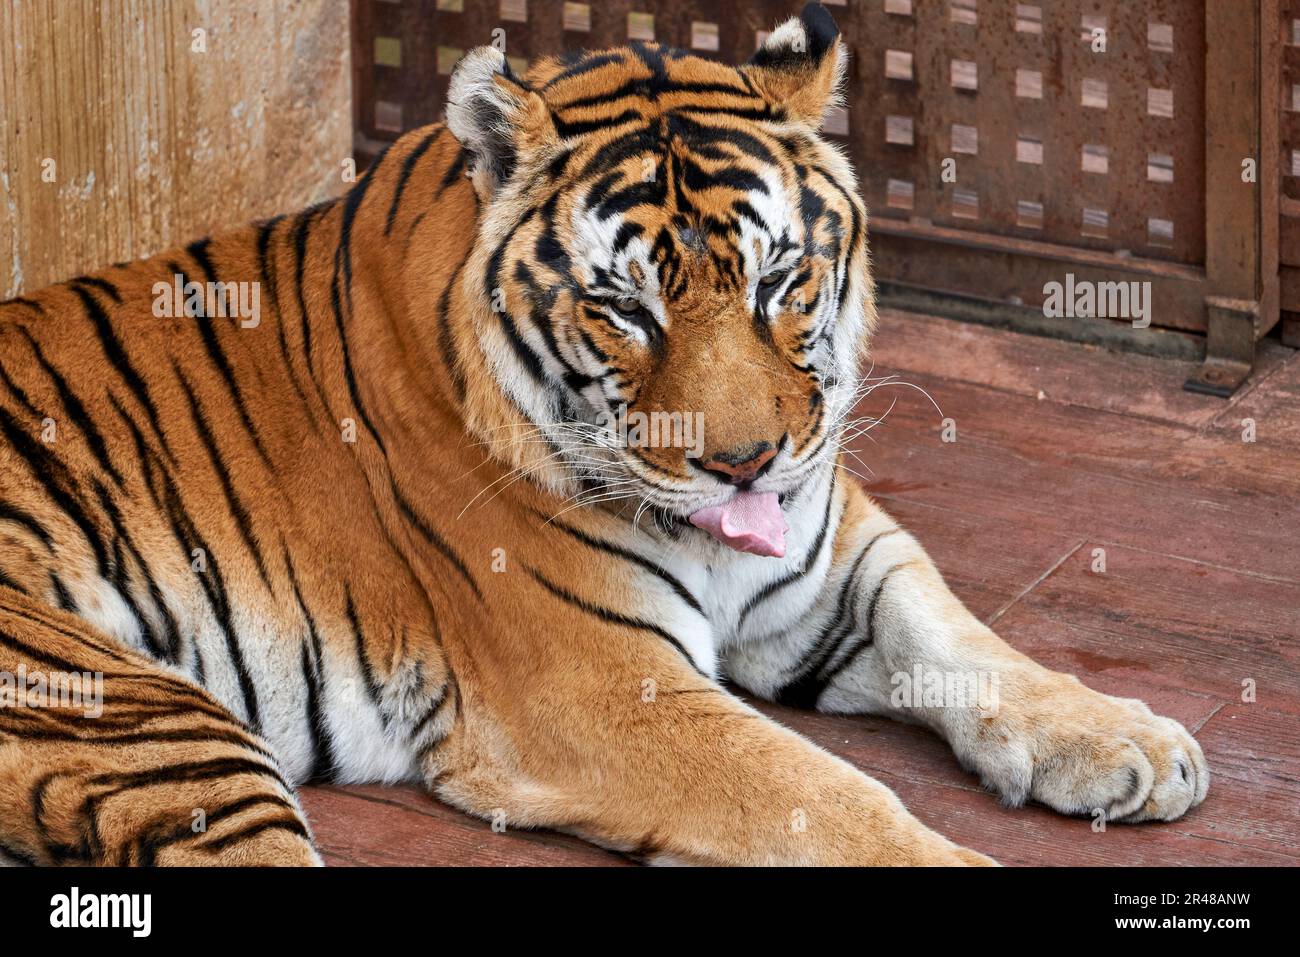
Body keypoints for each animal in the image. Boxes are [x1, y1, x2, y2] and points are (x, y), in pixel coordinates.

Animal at [0, 2, 1206, 866]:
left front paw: (1128, 741)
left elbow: (959, 638)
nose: (743, 465)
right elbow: (827, 799)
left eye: (778, 281)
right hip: (157, 724)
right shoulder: (602, 688)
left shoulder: (837, 563)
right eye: (625, 308)